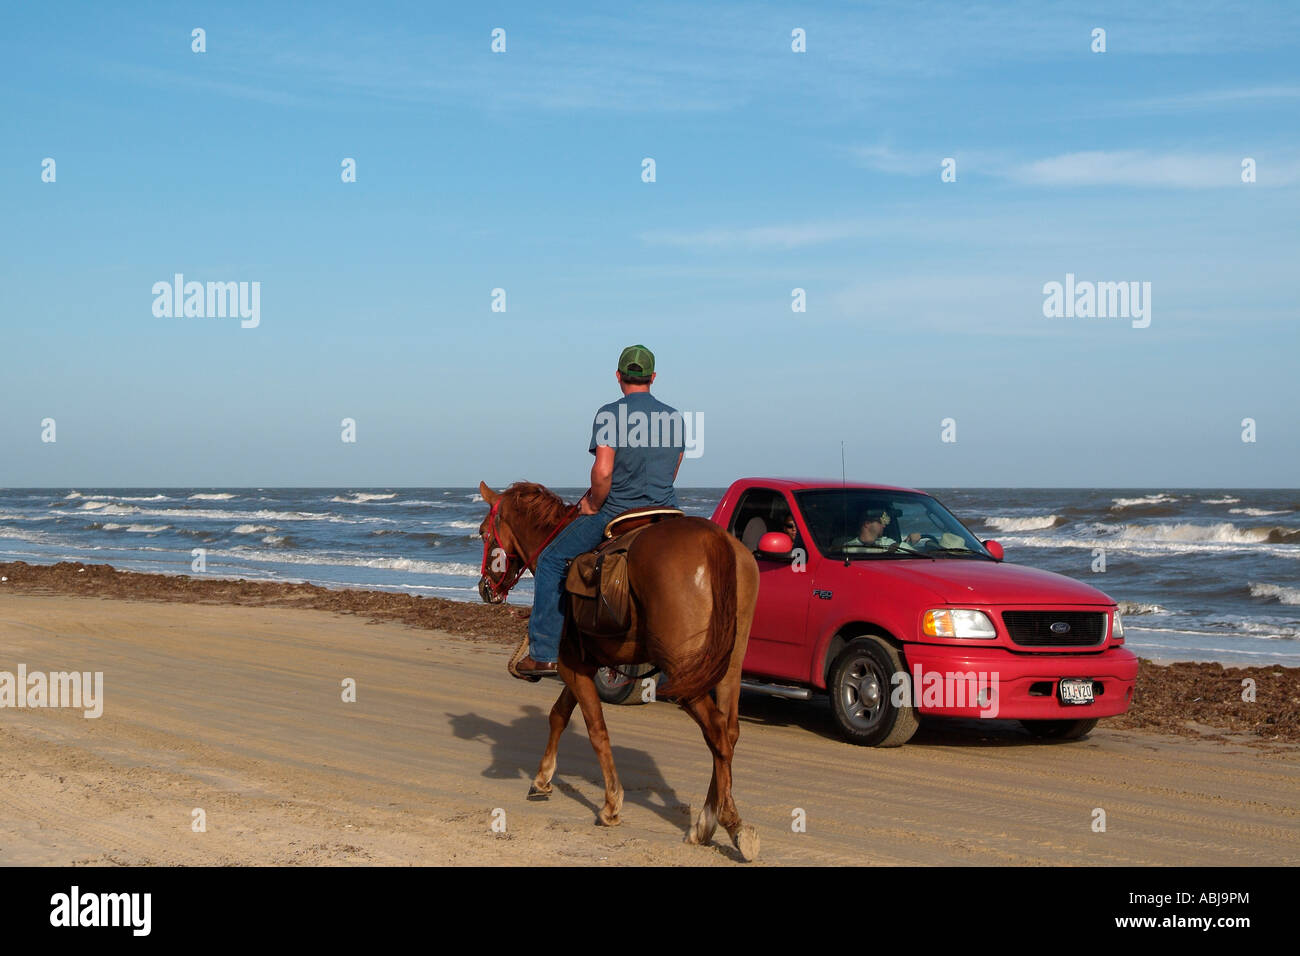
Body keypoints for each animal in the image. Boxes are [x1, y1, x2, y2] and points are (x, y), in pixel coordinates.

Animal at [476, 480, 762, 860]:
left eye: (482, 533)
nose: (484, 588)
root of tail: (714, 539)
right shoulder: (582, 662)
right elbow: (559, 715)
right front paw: (542, 779)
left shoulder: (571, 665)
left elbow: (596, 728)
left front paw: (611, 804)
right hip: (728, 668)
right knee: (728, 732)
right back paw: (708, 822)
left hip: (687, 671)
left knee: (716, 731)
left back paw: (729, 823)